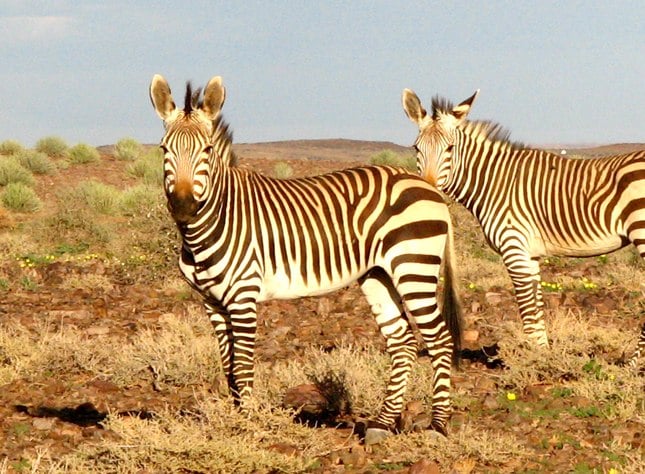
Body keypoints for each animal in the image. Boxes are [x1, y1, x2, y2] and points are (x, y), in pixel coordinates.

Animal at [149, 74, 463, 444]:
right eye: (164, 149)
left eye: (207, 150)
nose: (184, 208)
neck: (213, 223)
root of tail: (429, 188)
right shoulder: (211, 303)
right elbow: (228, 367)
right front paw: (236, 420)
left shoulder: (242, 297)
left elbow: (242, 366)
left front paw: (247, 426)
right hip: (378, 274)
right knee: (402, 341)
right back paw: (382, 424)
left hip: (414, 266)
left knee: (439, 339)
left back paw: (438, 425)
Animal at [401, 88, 645, 367]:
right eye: (416, 148)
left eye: (450, 148)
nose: (427, 191)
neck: (494, 183)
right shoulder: (530, 255)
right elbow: (536, 310)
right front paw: (543, 357)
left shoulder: (513, 248)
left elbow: (527, 310)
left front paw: (533, 364)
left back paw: (634, 364)